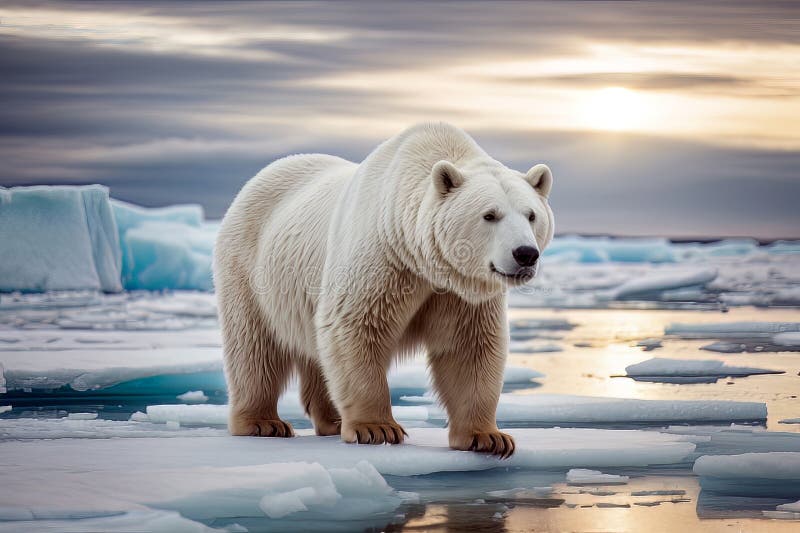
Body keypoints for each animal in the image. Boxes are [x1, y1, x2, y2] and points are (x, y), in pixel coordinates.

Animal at [214, 122, 554, 457]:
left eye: (531, 215)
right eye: (489, 215)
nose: (526, 253)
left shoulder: (460, 291)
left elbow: (470, 346)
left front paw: (489, 437)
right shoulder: (385, 259)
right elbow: (355, 325)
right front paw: (376, 428)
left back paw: (332, 420)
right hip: (251, 267)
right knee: (254, 345)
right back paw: (262, 422)